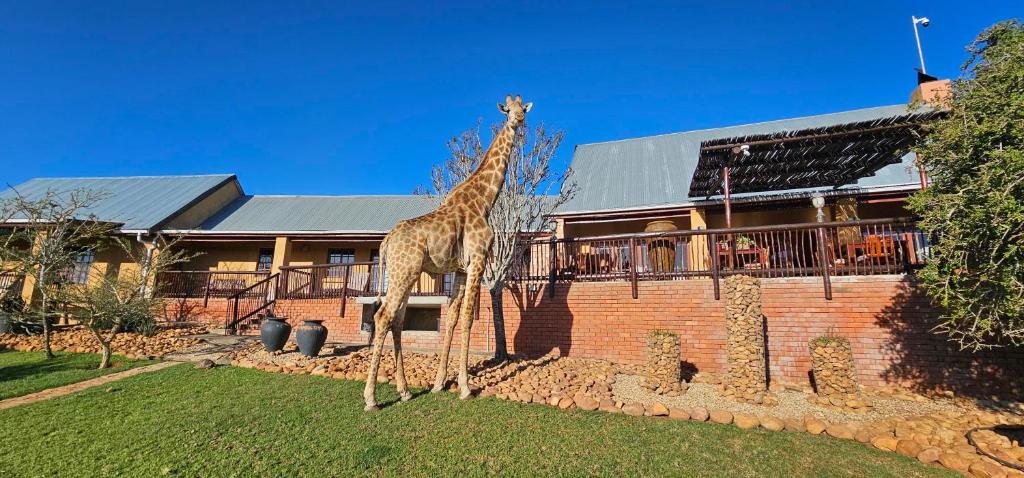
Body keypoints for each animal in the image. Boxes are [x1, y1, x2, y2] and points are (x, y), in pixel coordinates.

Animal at [363, 95, 532, 411]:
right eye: (508, 111)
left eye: (522, 110)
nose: (519, 120)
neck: (485, 200)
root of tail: (386, 241)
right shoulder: (478, 260)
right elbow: (466, 318)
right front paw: (465, 387)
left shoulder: (461, 269)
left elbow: (452, 319)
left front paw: (440, 383)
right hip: (404, 273)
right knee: (383, 316)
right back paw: (371, 398)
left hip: (405, 274)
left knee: (397, 320)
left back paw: (405, 391)